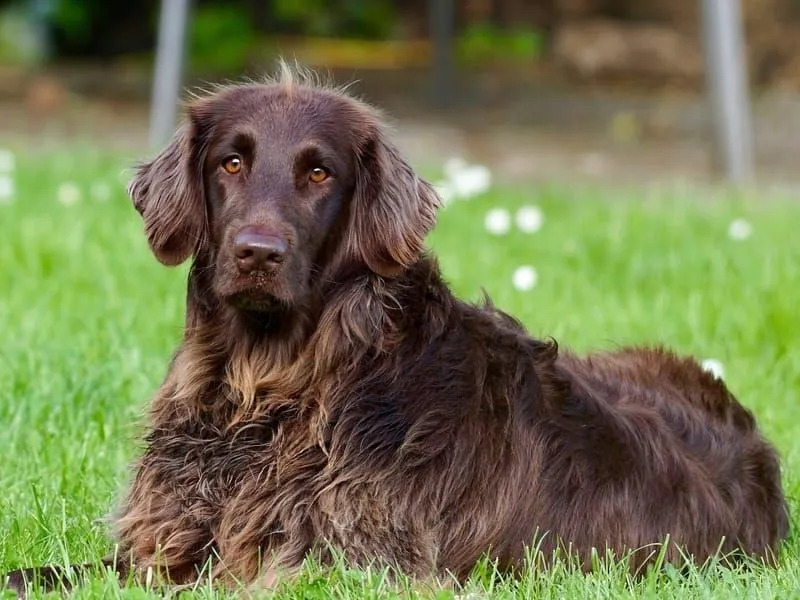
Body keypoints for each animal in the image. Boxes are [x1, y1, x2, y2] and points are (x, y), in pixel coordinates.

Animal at [4, 67, 788, 596]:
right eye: (231, 161)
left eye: (319, 173)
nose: (258, 252)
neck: (276, 389)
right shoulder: (165, 539)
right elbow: (51, 571)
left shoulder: (346, 565)